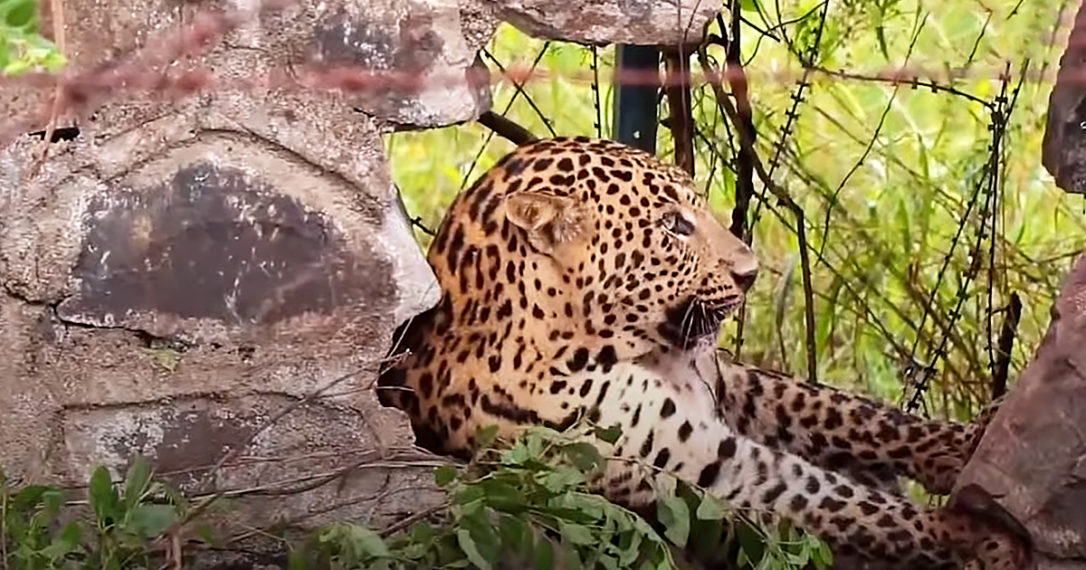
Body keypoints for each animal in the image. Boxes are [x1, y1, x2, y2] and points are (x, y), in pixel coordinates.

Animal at [377, 136, 1029, 570]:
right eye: (673, 225)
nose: (750, 272)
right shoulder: (698, 459)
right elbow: (837, 498)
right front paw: (978, 537)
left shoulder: (734, 383)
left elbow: (850, 413)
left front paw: (961, 445)